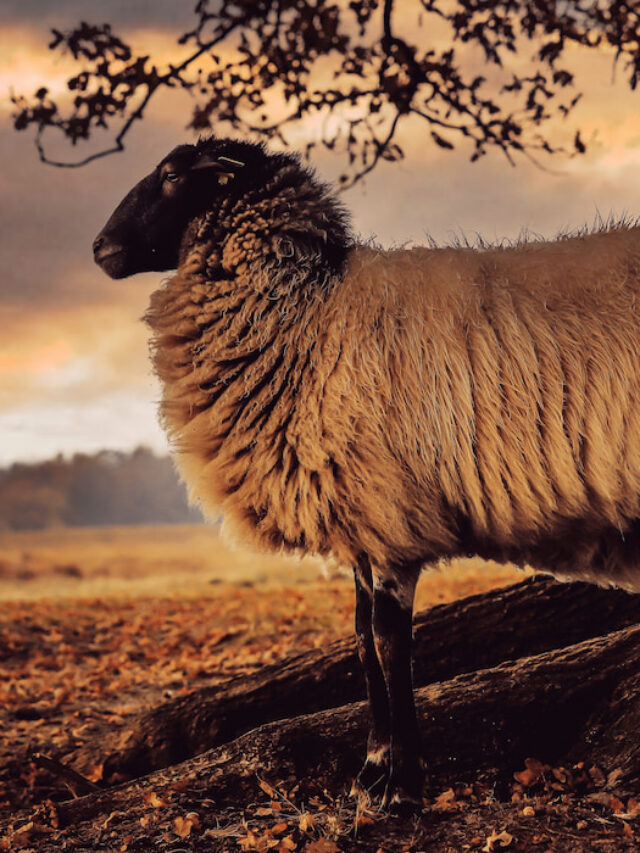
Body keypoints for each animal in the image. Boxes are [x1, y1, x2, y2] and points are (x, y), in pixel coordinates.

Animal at [93, 136, 640, 813]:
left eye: (171, 175)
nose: (99, 248)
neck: (312, 307)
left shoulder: (388, 513)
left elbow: (387, 640)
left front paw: (400, 783)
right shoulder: (356, 517)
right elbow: (357, 638)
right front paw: (373, 766)